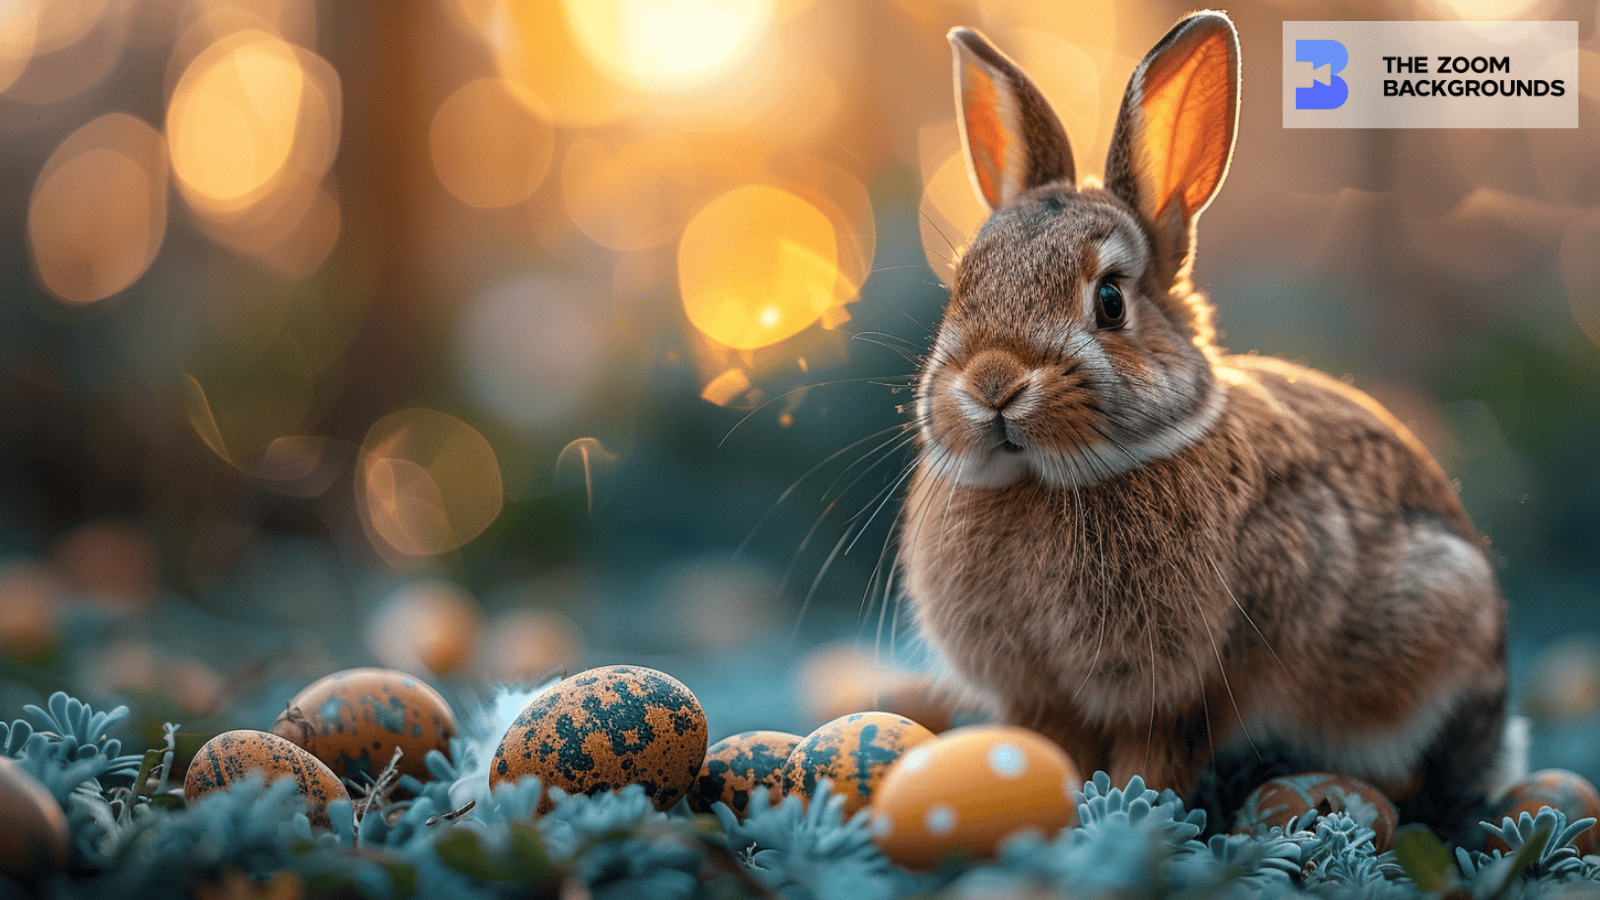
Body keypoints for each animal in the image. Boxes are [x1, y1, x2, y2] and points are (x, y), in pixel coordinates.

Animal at [898, 10, 1509, 833]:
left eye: (1110, 301)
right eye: (963, 284)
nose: (993, 383)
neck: (1044, 482)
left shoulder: (1195, 685)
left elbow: (1159, 757)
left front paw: (1127, 815)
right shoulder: (1041, 692)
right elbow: (1047, 746)